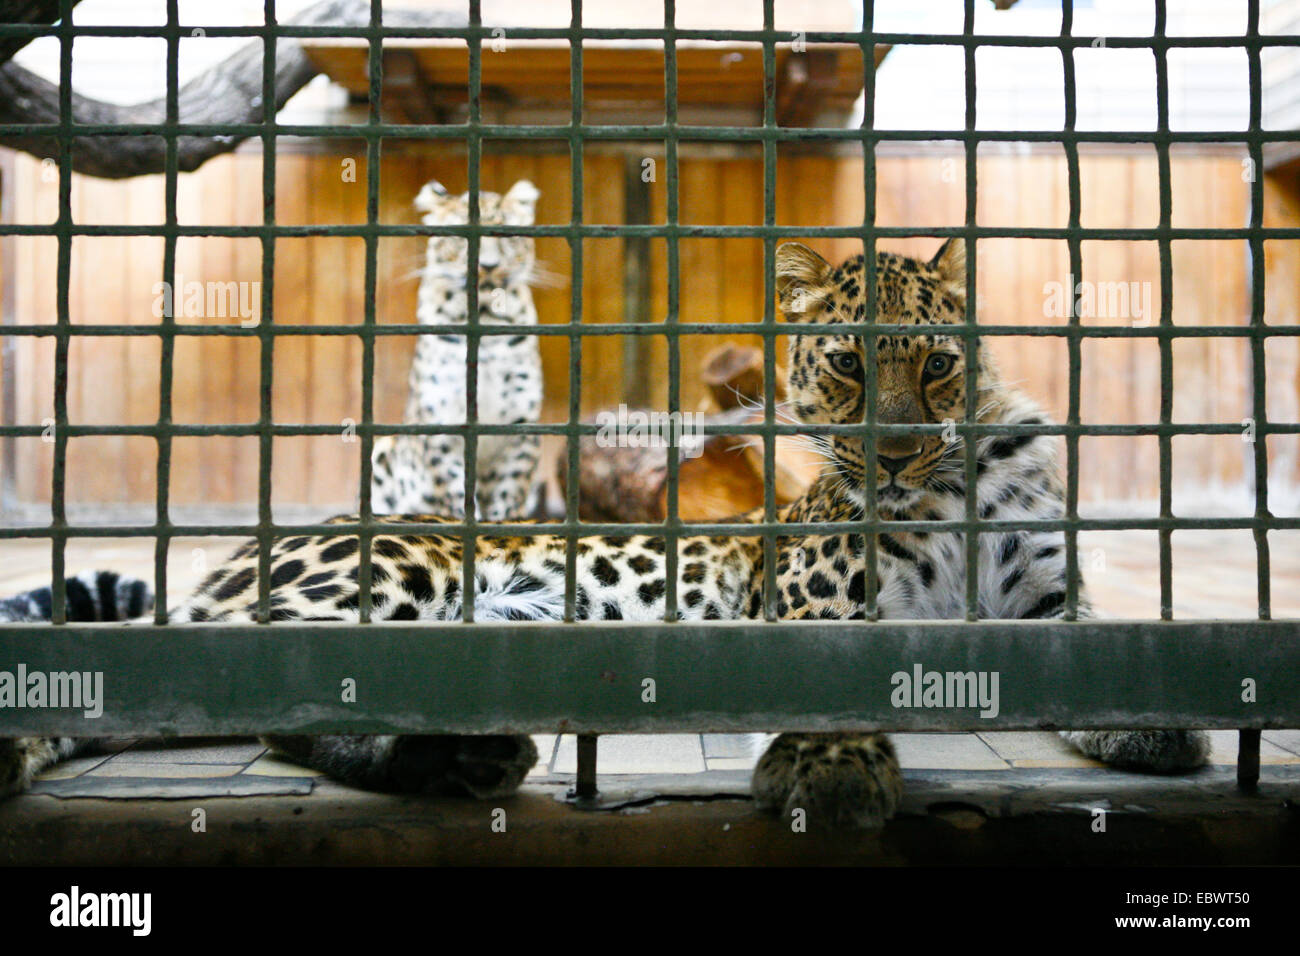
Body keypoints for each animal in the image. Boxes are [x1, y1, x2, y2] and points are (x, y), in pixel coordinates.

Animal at [0, 239, 1208, 823]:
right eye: (849, 366)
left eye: (939, 364)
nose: (902, 452)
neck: (955, 481)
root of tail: (233, 557)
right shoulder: (818, 598)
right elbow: (832, 682)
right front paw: (828, 770)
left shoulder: (1045, 602)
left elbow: (1111, 649)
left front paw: (1157, 723)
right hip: (384, 576)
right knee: (239, 691)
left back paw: (462, 758)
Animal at [370, 178, 545, 521]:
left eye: (507, 235)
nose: (487, 266)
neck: (485, 320)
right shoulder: (442, 425)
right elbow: (456, 489)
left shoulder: (521, 429)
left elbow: (508, 495)